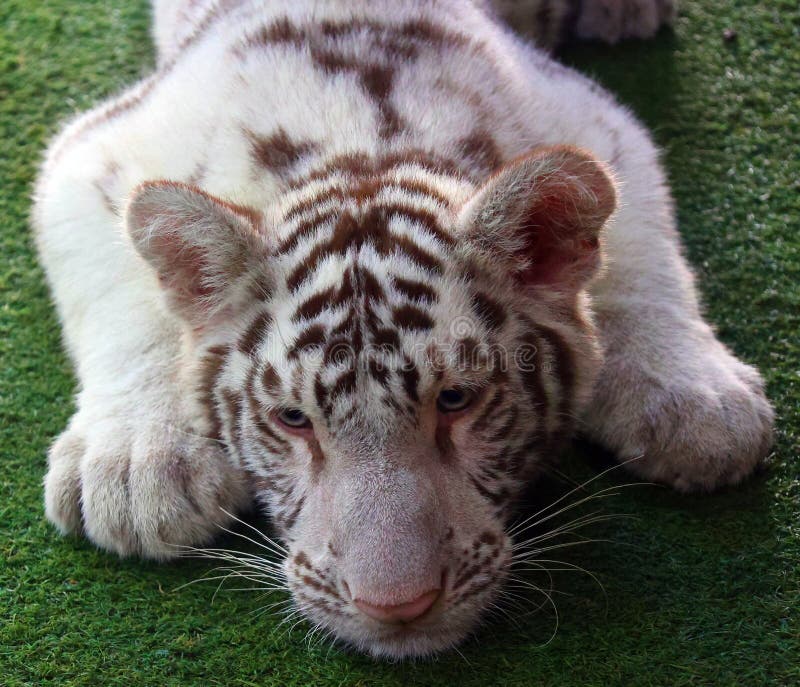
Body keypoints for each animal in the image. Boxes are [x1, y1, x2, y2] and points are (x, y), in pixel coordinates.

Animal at [33, 0, 773, 658]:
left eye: (456, 400)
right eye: (293, 419)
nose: (396, 606)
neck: (356, 140)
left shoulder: (596, 121)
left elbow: (643, 255)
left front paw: (696, 401)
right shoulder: (91, 154)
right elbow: (122, 293)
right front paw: (140, 464)